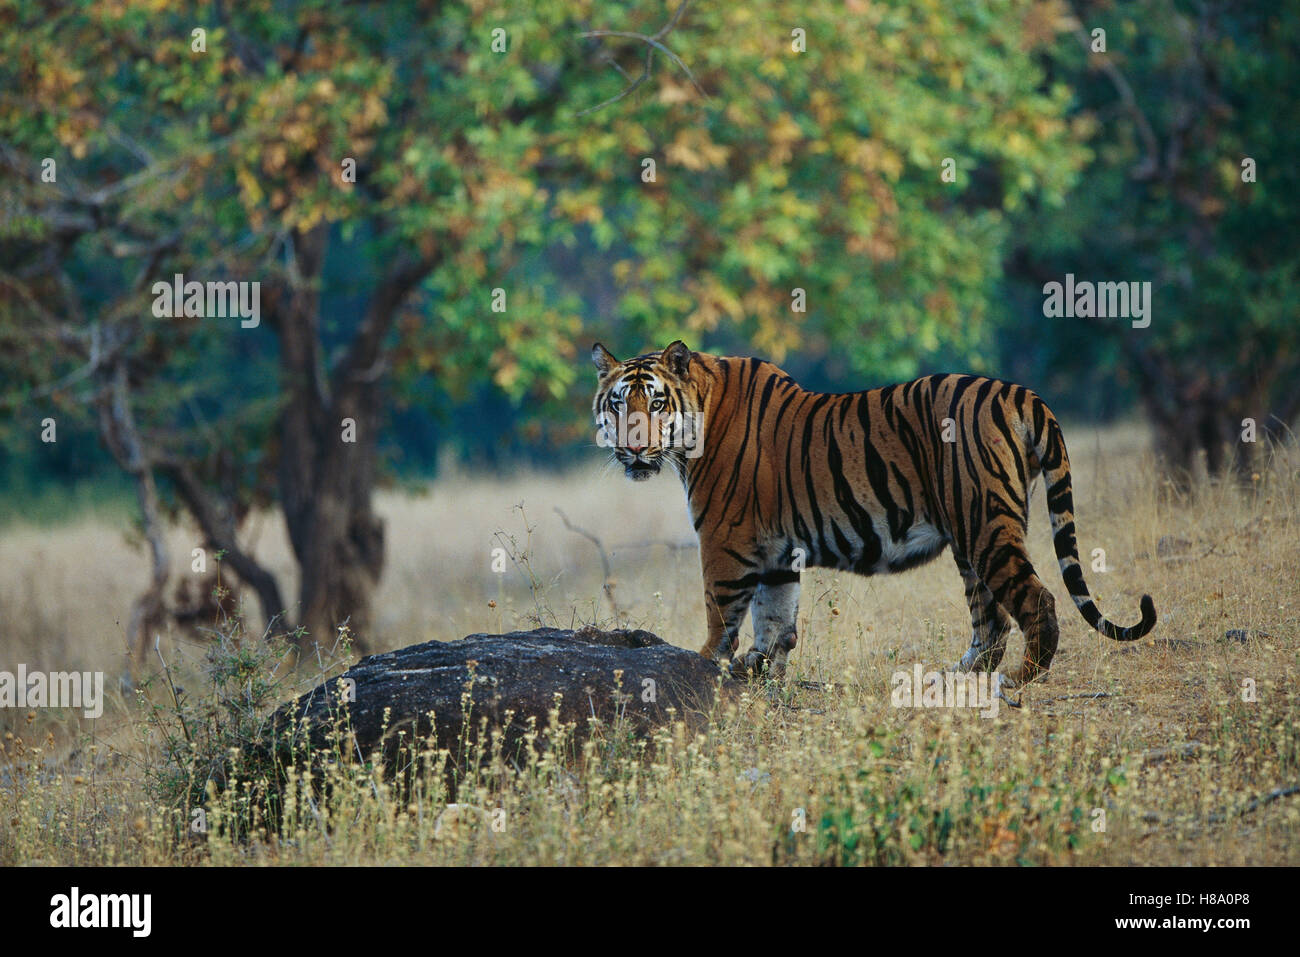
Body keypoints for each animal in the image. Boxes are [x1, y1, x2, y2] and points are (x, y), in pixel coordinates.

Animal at [591, 340, 1156, 685]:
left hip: (984, 525)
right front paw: (759, 672)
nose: (634, 448)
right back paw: (957, 676)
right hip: (970, 535)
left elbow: (720, 612)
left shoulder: (725, 539)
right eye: (618, 403)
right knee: (990, 619)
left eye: (656, 404)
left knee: (1035, 601)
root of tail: (1021, 392)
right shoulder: (776, 551)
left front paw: (706, 665)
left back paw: (1017, 678)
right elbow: (776, 617)